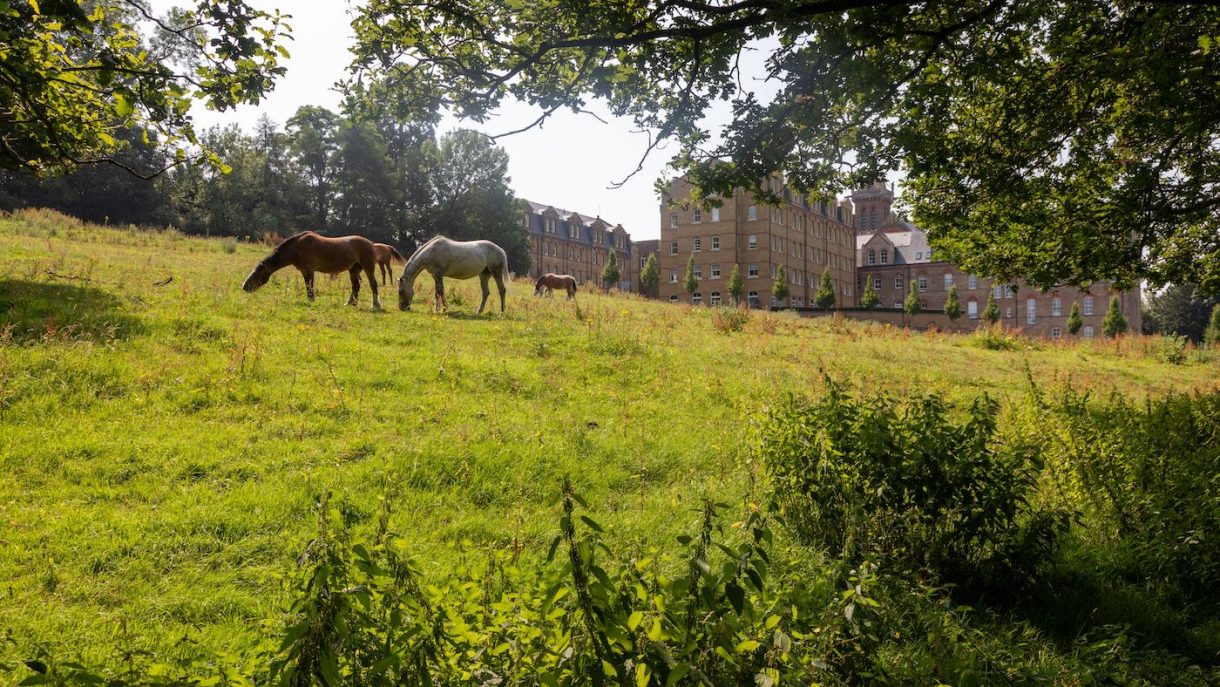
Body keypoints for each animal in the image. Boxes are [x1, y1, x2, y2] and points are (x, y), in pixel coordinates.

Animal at [242, 231, 383, 309]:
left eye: (258, 273)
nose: (244, 286)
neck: (297, 247)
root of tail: (371, 244)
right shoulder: (304, 271)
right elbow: (307, 285)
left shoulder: (309, 270)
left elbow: (310, 285)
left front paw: (311, 301)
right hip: (353, 269)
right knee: (356, 286)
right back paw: (350, 303)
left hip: (368, 267)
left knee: (373, 284)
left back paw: (375, 305)